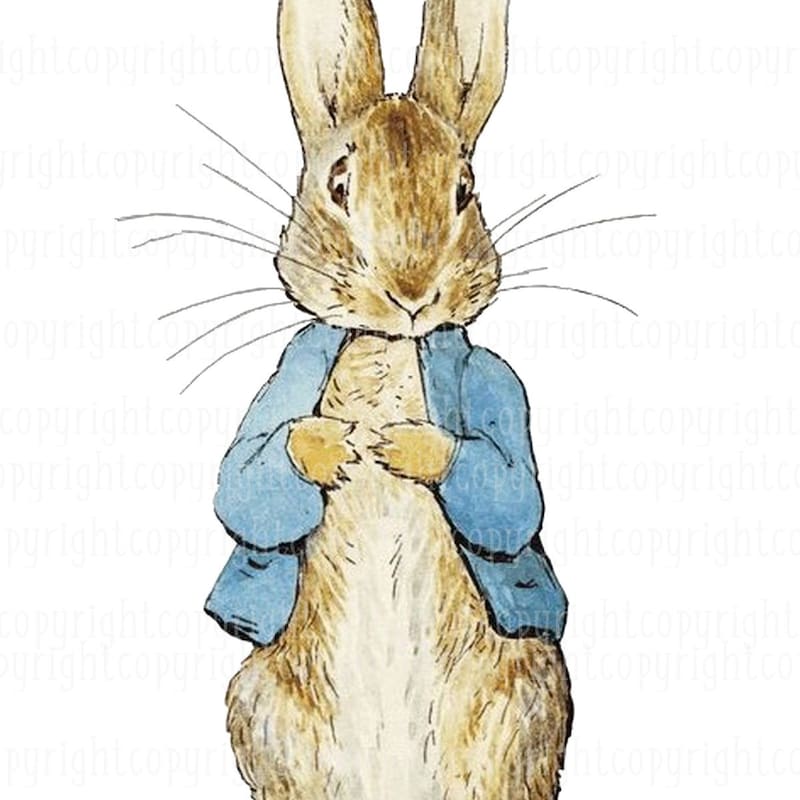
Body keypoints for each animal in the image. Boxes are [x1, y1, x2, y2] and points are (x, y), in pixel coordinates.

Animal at [207, 1, 572, 798]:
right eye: (340, 184)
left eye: (465, 189)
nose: (411, 291)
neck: (390, 348)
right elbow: (241, 486)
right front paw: (337, 443)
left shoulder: (504, 393)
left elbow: (511, 497)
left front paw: (402, 443)